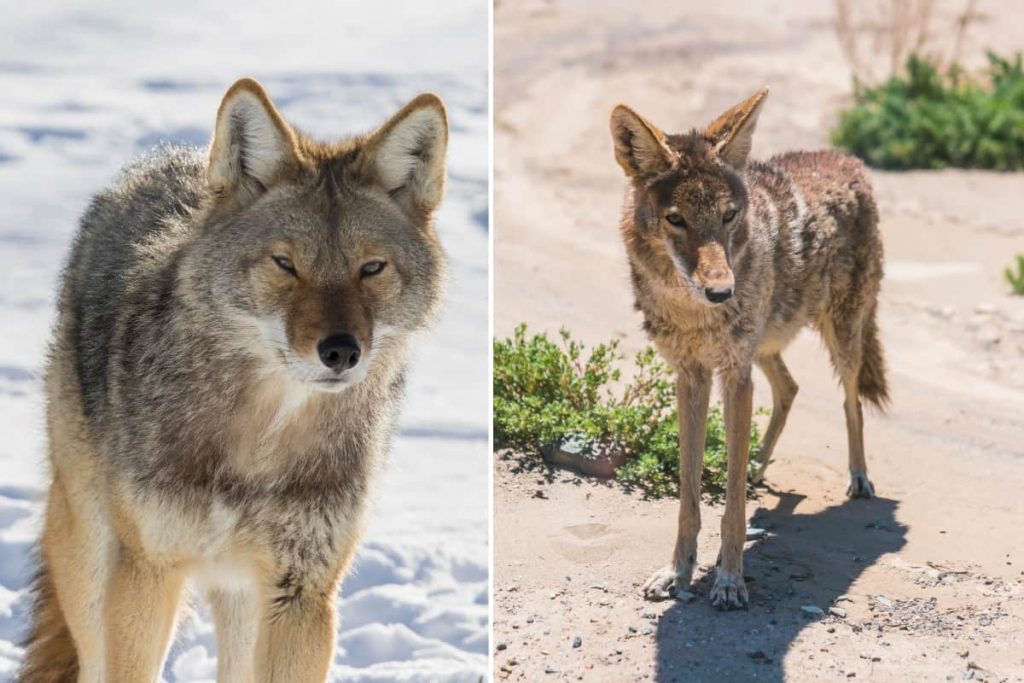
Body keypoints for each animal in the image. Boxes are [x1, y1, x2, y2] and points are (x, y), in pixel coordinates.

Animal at [20, 77, 449, 681]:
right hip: (92, 559)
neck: (257, 446)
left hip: (245, 598)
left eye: (371, 269)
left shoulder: (302, 593)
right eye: (285, 264)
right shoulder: (150, 570)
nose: (341, 351)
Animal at [609, 88, 887, 609]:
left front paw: (730, 580)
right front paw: (676, 572)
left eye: (728, 215)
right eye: (676, 219)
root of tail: (845, 158)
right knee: (790, 388)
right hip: (766, 345)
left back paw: (858, 479)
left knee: (851, 401)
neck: (692, 313)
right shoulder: (692, 377)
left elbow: (732, 505)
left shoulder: (734, 377)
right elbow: (690, 496)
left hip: (841, 336)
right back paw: (759, 466)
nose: (722, 292)